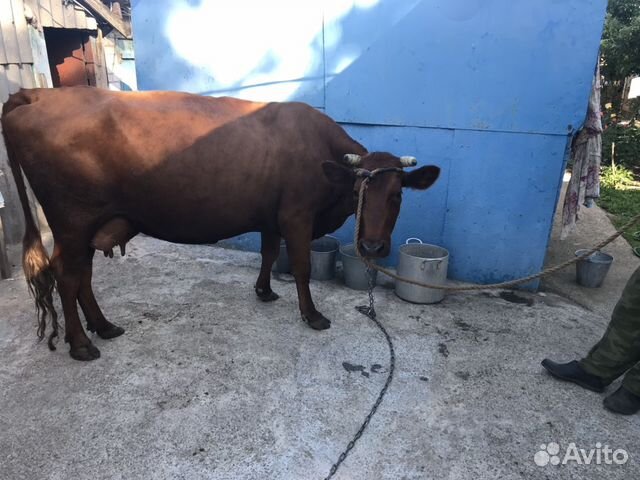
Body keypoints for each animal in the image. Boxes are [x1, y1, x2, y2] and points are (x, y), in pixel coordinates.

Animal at [1, 87, 440, 361]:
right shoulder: (297, 215)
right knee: (67, 276)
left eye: (398, 195)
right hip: (71, 220)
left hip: (87, 225)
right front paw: (312, 315)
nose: (372, 248)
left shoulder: (271, 216)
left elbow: (268, 253)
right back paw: (80, 344)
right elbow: (299, 267)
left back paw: (103, 326)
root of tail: (39, 94)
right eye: (357, 192)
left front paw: (264, 291)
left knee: (83, 277)